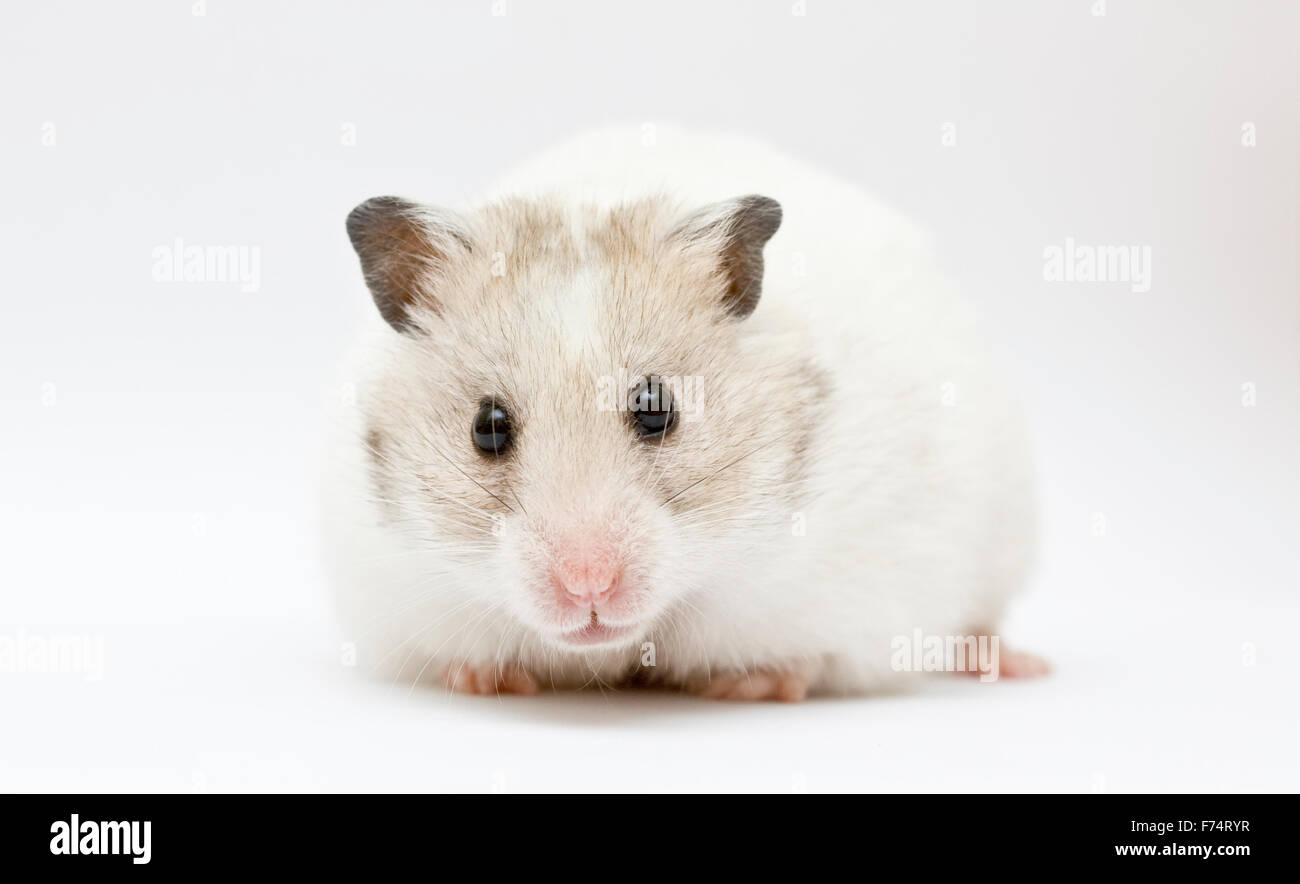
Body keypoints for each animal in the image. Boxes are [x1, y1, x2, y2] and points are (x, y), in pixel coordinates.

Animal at [320, 126, 1044, 701]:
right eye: (487, 428)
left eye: (657, 408)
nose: (588, 586)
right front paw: (486, 679)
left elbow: (814, 658)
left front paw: (752, 684)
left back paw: (1016, 664)